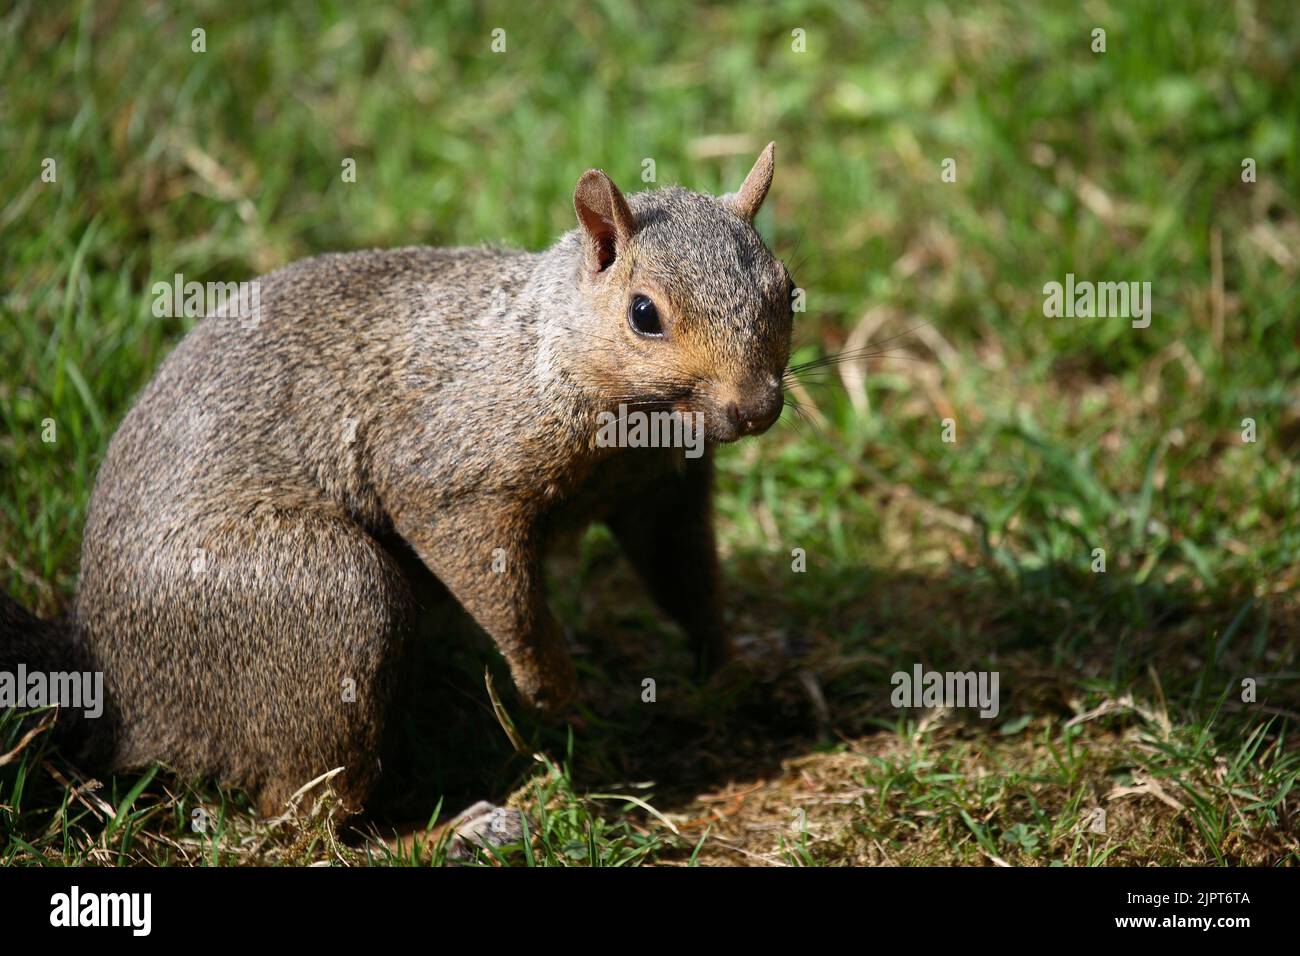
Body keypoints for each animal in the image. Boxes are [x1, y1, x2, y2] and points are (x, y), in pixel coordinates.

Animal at [1, 143, 792, 820]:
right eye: (643, 314)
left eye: (787, 291)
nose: (755, 408)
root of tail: (108, 674)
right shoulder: (453, 473)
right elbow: (496, 583)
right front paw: (553, 686)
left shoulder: (658, 492)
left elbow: (687, 579)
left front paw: (732, 668)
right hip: (326, 601)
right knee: (300, 807)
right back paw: (439, 828)